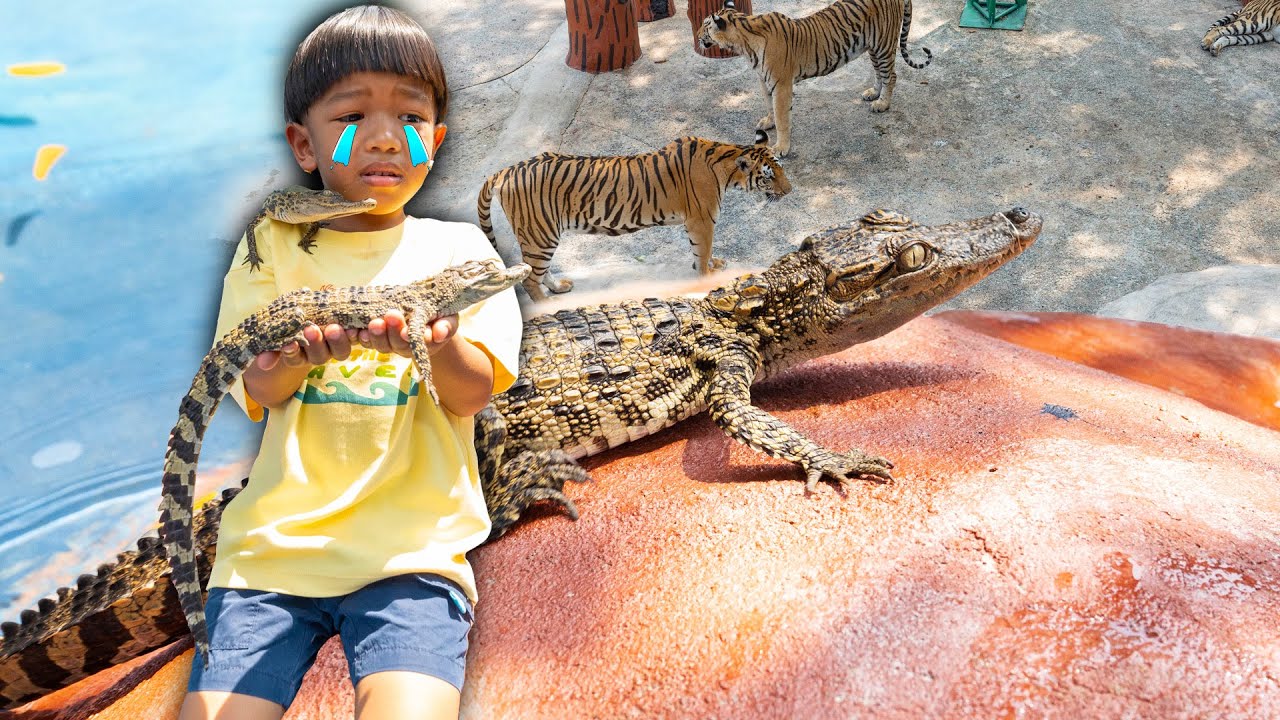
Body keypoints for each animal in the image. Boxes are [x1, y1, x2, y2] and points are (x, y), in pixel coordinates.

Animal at [476, 136, 791, 301]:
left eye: (781, 169)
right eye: (768, 176)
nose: (789, 190)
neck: (727, 167)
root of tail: (505, 170)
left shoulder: (695, 223)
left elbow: (700, 252)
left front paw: (714, 265)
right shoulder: (702, 220)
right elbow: (703, 253)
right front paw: (706, 277)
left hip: (542, 236)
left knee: (538, 272)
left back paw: (560, 287)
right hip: (540, 234)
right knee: (530, 279)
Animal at [697, 0, 932, 157]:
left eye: (705, 25)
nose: (697, 37)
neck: (744, 42)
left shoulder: (781, 85)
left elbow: (782, 118)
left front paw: (781, 148)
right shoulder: (764, 81)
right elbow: (769, 106)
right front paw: (768, 122)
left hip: (883, 45)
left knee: (891, 75)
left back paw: (882, 104)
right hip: (872, 47)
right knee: (879, 74)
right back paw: (873, 94)